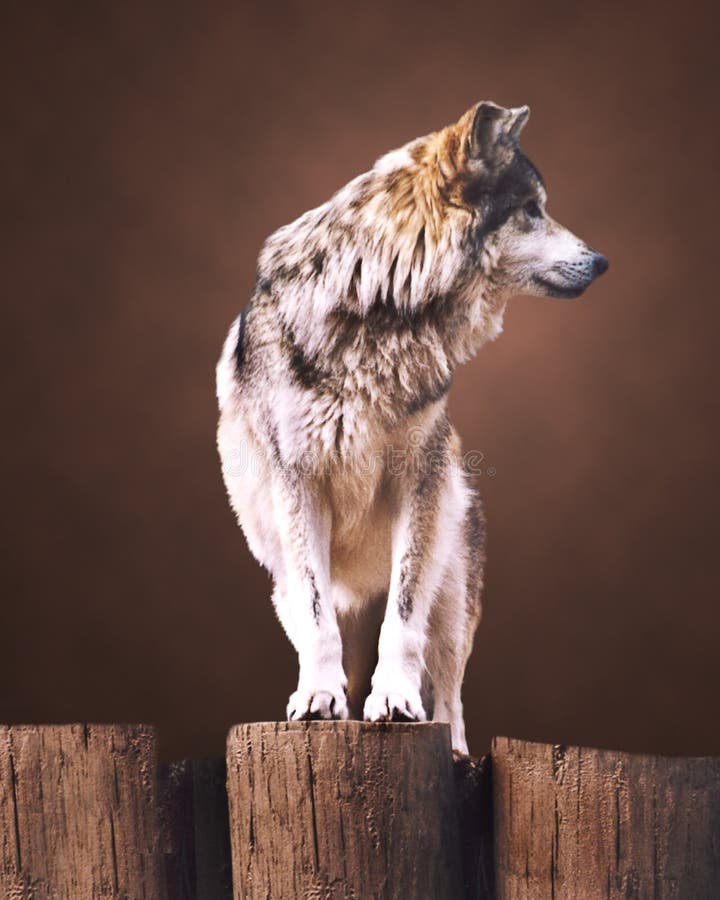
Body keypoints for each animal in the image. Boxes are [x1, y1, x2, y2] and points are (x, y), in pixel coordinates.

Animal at [216, 101, 607, 753]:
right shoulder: (298, 486)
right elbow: (320, 620)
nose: (602, 262)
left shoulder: (417, 485)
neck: (381, 309)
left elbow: (401, 624)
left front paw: (395, 701)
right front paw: (317, 699)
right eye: (532, 210)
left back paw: (450, 746)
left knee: (448, 692)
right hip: (283, 586)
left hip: (451, 590)